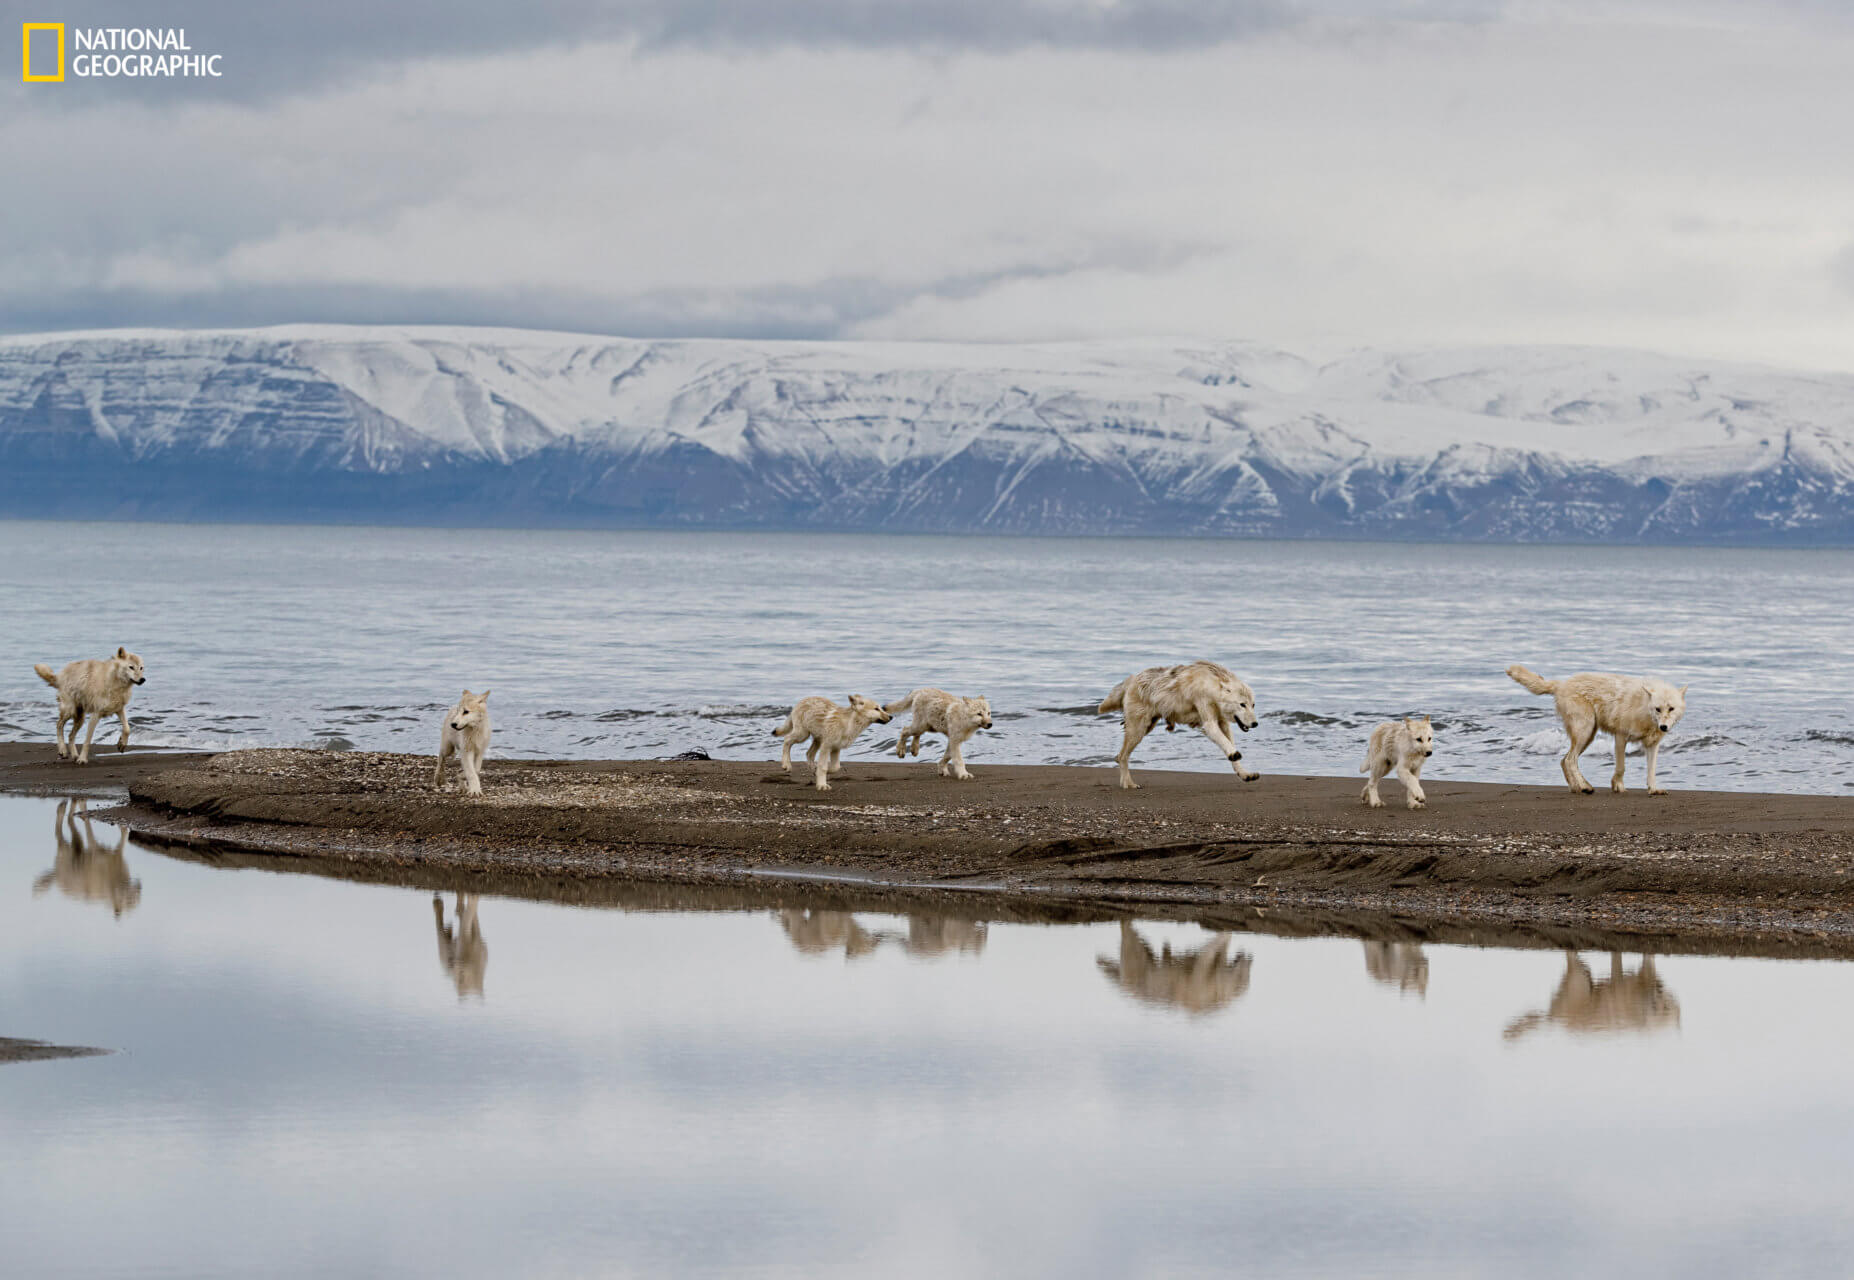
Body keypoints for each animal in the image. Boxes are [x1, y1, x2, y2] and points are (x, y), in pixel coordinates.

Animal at [1097, 661, 1260, 789]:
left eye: (1253, 705)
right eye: (1242, 704)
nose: (1255, 724)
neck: (1212, 686)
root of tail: (1131, 679)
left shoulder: (1223, 723)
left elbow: (1230, 745)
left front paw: (1244, 774)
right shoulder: (1209, 724)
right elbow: (1227, 744)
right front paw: (1234, 754)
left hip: (1147, 726)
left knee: (1119, 756)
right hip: (1138, 730)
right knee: (1122, 756)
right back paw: (1128, 784)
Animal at [1507, 665, 1687, 795]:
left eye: (1671, 709)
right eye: (1658, 709)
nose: (1663, 727)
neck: (1643, 708)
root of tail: (1561, 684)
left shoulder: (1652, 745)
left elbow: (1651, 770)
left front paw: (1653, 790)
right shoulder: (1620, 737)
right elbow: (1621, 767)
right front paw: (1618, 786)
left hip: (1588, 736)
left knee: (1564, 760)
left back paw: (1577, 787)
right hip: (1585, 732)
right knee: (1570, 760)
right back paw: (1584, 787)